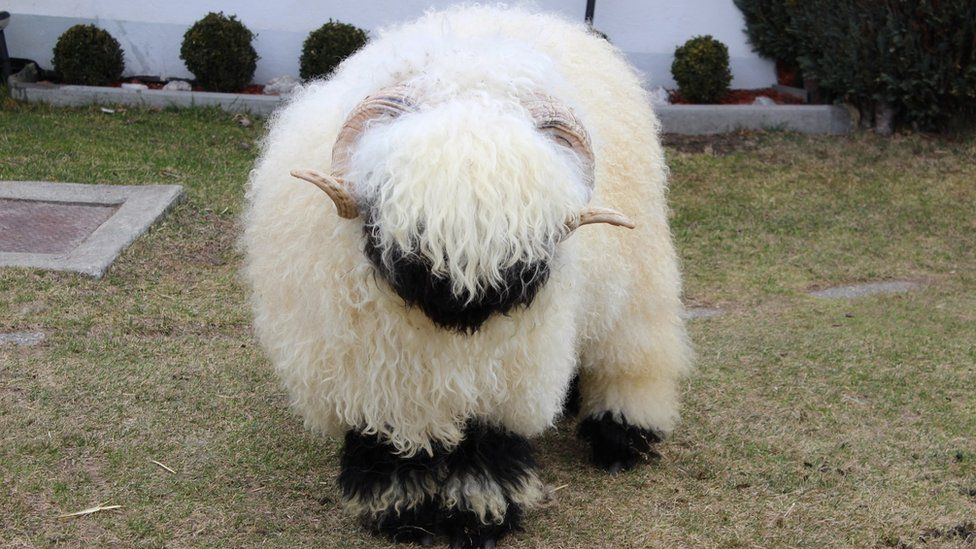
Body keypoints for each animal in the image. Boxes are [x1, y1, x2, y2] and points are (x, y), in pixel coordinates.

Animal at [242, 5, 692, 547]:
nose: (465, 299)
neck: (447, 336)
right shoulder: (370, 375)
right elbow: (390, 446)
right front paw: (404, 516)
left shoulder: (504, 377)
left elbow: (484, 448)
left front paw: (476, 519)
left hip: (638, 281)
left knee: (632, 353)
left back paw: (622, 438)